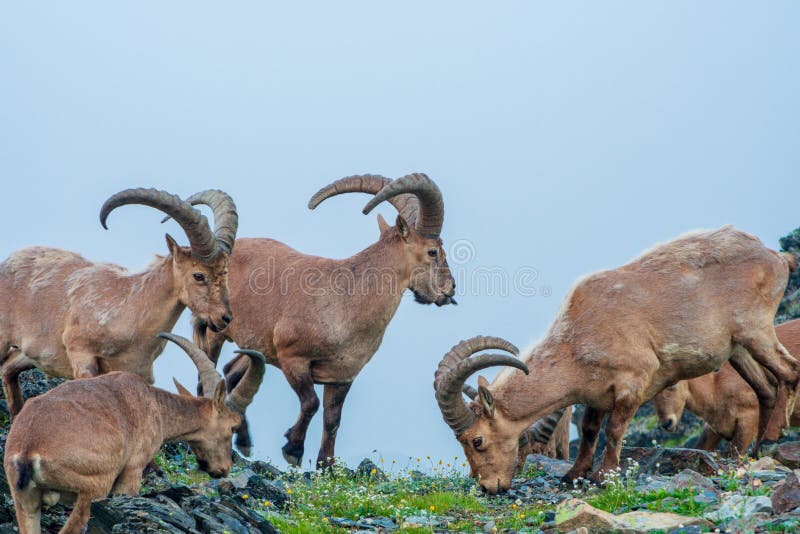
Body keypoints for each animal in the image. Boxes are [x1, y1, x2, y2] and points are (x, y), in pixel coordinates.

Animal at [0, 189, 237, 417]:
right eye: (198, 275)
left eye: (226, 272)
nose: (224, 318)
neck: (130, 308)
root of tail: (8, 262)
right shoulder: (81, 354)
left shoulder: (139, 372)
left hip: (30, 352)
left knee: (8, 368)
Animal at [3, 333, 264, 534]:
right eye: (233, 426)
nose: (223, 469)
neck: (154, 404)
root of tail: (28, 449)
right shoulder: (132, 472)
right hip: (93, 487)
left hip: (25, 500)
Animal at [189, 174, 456, 466]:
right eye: (433, 251)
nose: (450, 289)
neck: (347, 300)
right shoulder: (293, 359)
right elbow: (311, 403)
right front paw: (292, 448)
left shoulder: (342, 376)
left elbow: (333, 420)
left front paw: (325, 464)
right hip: (216, 330)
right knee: (209, 374)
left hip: (257, 345)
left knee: (232, 371)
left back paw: (245, 441)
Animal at [654, 318, 800, 455]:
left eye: (673, 383)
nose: (666, 423)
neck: (715, 386)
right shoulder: (716, 427)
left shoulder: (749, 419)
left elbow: (734, 452)